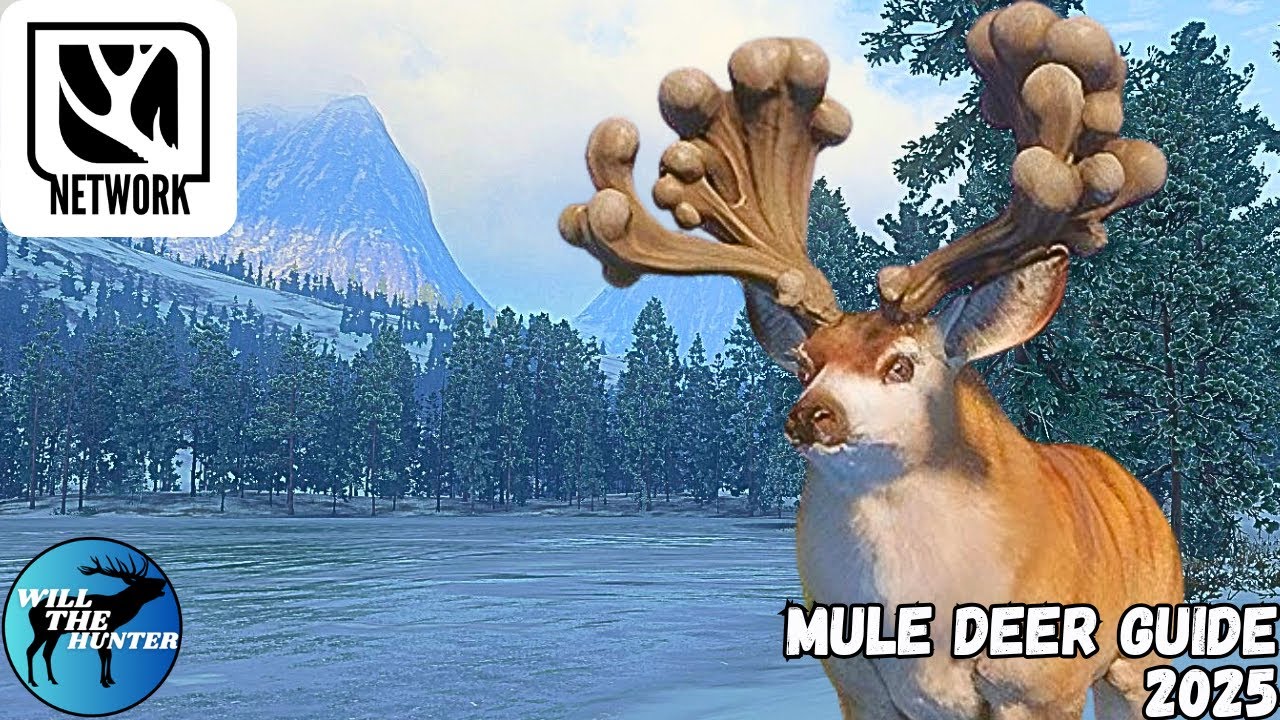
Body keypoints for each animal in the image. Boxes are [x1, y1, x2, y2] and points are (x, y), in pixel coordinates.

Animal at [26, 554, 169, 689]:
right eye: (147, 583)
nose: (162, 580)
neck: (117, 610)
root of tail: (30, 611)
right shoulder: (98, 632)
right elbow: (103, 655)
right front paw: (104, 681)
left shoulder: (109, 631)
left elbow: (109, 654)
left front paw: (110, 679)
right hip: (42, 631)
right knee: (30, 650)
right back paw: (33, 681)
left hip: (54, 634)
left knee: (46, 653)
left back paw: (52, 680)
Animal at [558, 3, 1184, 718]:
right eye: (805, 363)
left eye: (902, 365)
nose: (812, 413)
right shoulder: (858, 685)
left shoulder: (1039, 684)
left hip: (1142, 645)